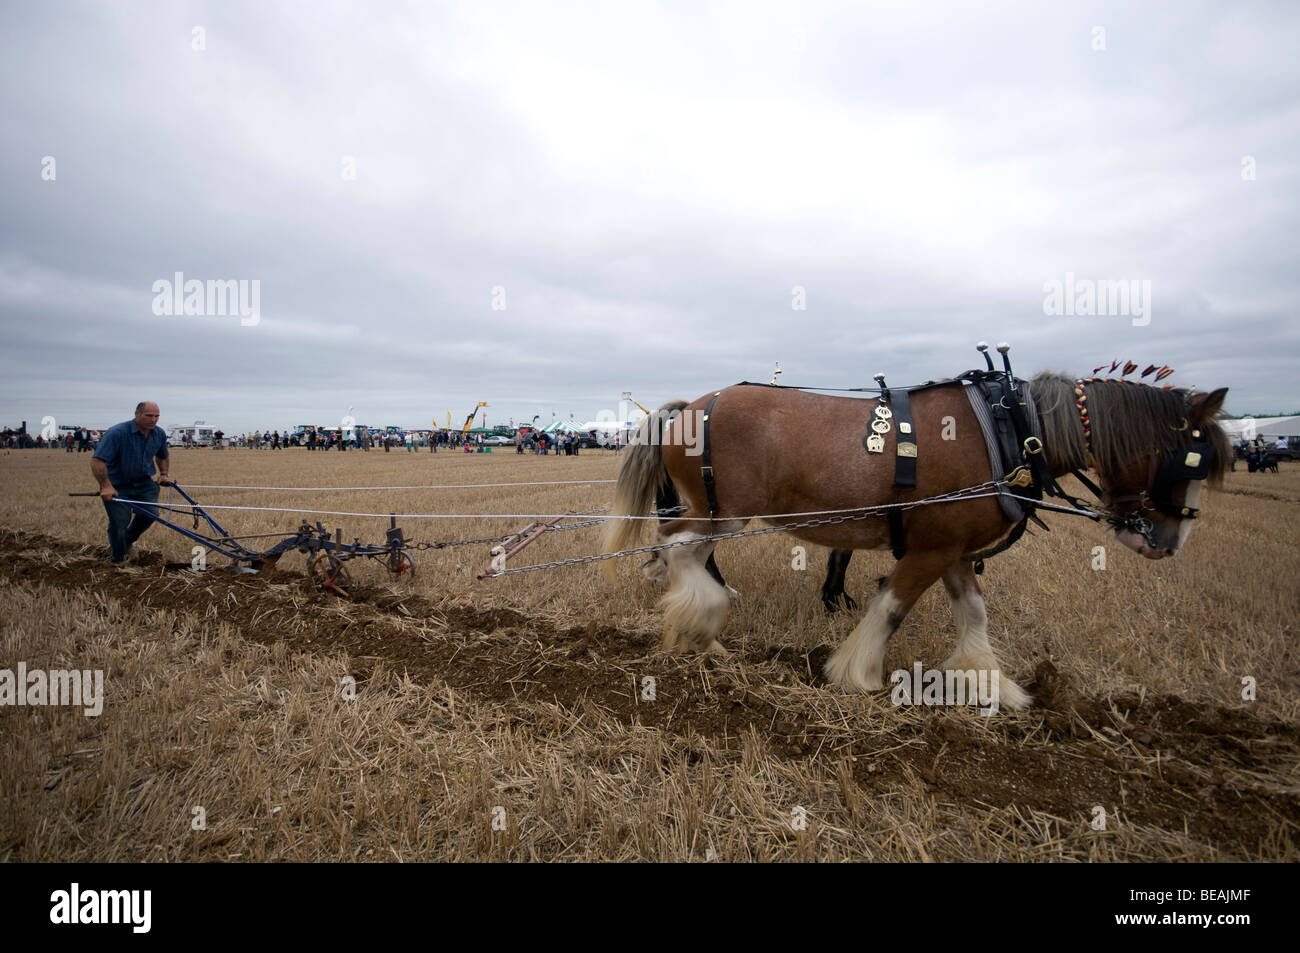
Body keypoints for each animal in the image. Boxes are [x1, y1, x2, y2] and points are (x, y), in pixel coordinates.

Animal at [601, 370, 1229, 710]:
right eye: (1189, 458)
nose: (1169, 540)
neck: (1011, 429)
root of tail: (691, 407)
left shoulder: (953, 549)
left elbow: (973, 612)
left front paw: (988, 682)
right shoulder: (930, 550)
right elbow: (892, 608)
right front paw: (857, 673)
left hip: (719, 515)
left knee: (682, 551)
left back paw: (701, 630)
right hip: (722, 513)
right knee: (676, 548)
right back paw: (701, 618)